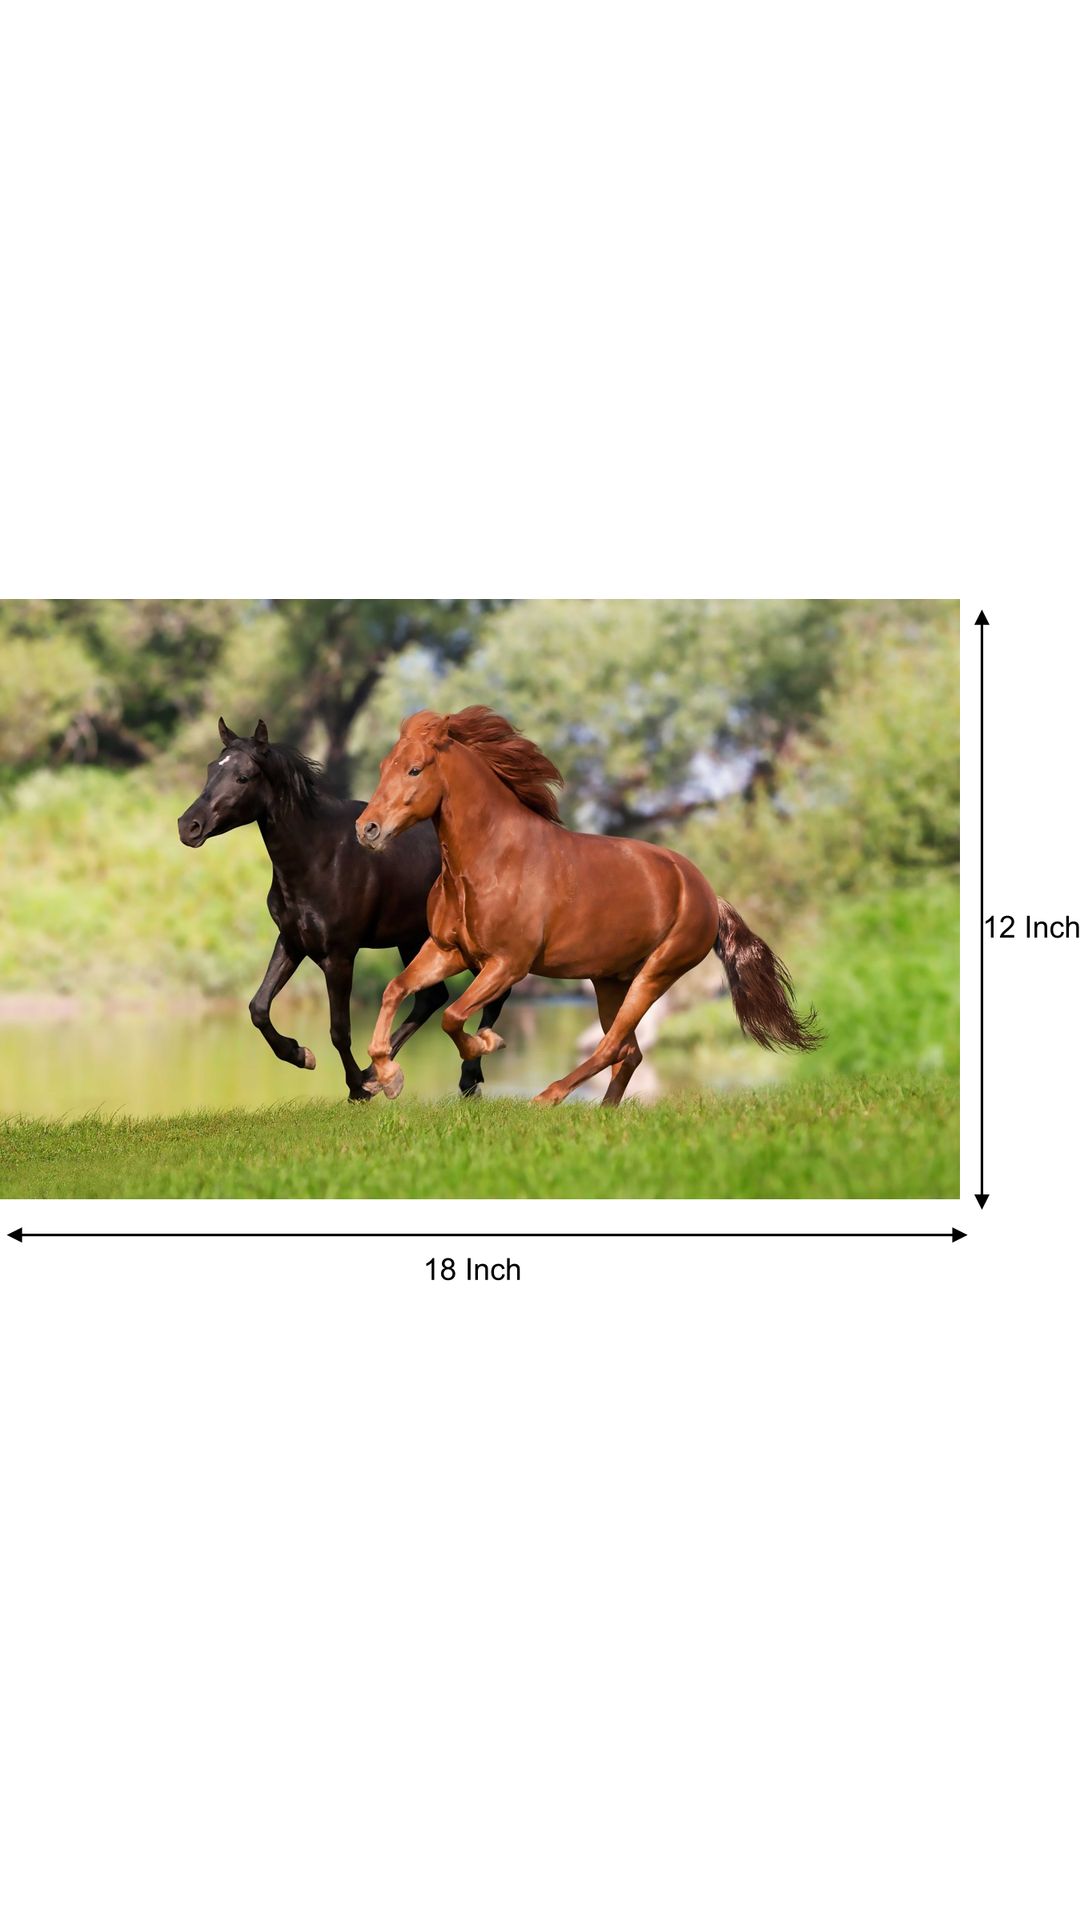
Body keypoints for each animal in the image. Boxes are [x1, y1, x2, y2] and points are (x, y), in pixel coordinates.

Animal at [177, 717, 509, 1099]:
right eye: (210, 769)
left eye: (243, 777)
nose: (188, 826)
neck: (319, 857)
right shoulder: (292, 942)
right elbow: (258, 1007)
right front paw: (303, 1055)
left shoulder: (339, 955)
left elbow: (339, 1029)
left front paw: (356, 1088)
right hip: (412, 941)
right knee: (432, 998)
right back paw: (382, 1075)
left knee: (493, 993)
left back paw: (465, 1076)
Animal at [355, 706, 821, 1107]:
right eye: (382, 768)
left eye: (414, 769)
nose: (367, 829)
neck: (490, 861)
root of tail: (708, 893)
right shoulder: (447, 951)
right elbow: (395, 989)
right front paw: (387, 1078)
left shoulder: (507, 964)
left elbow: (452, 1016)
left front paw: (488, 1042)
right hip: (610, 980)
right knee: (629, 1052)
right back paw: (603, 1110)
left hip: (655, 974)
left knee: (612, 1045)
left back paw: (547, 1098)